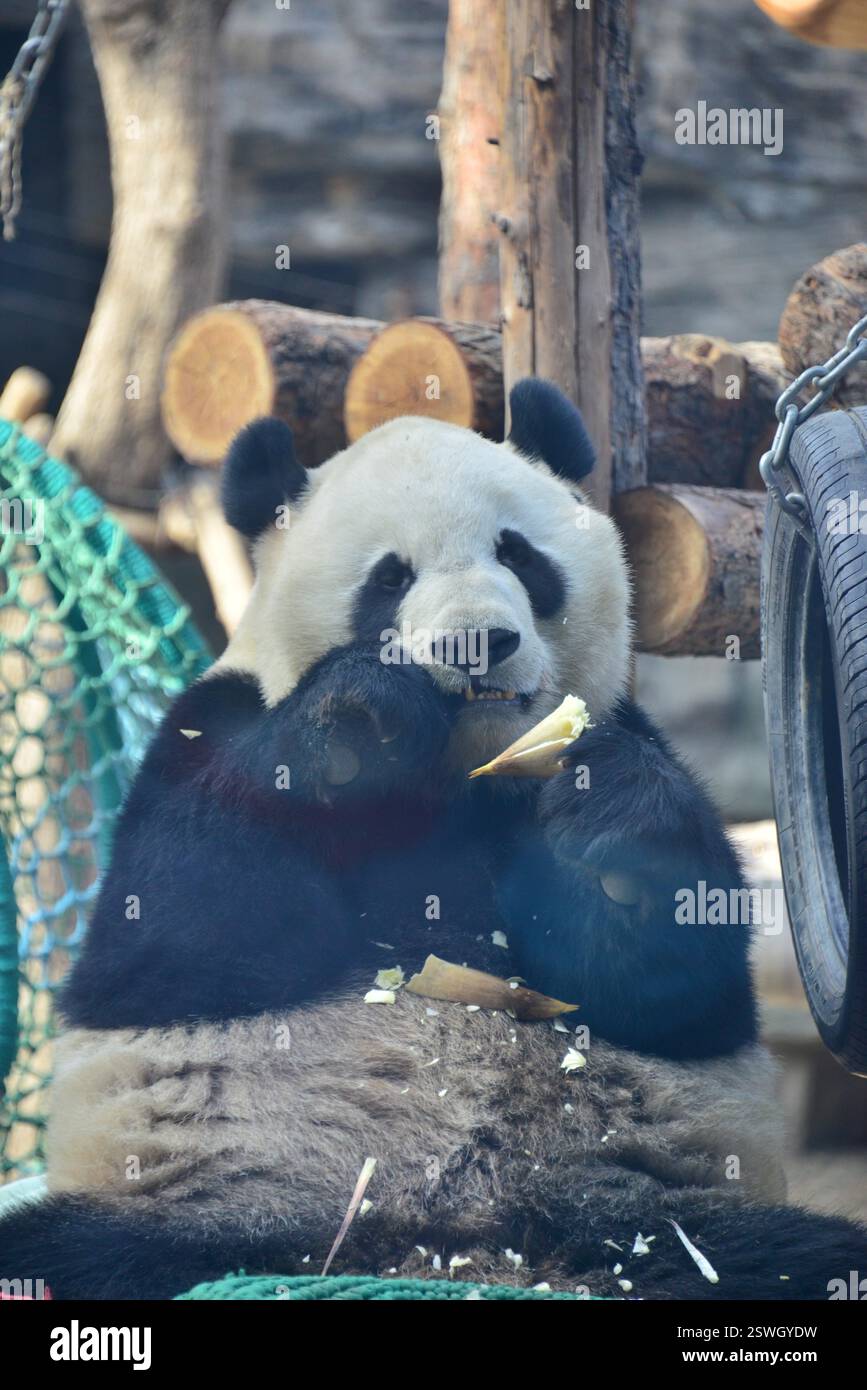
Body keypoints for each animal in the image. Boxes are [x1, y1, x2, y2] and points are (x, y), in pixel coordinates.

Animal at [2, 379, 865, 1300]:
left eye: (519, 555)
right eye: (389, 578)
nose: (476, 640)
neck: (465, 773)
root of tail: (452, 1247)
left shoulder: (613, 734)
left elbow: (671, 991)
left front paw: (612, 815)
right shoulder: (207, 724)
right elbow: (177, 937)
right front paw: (355, 726)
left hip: (652, 1222)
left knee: (794, 1257)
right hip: (202, 1203)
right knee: (66, 1252)